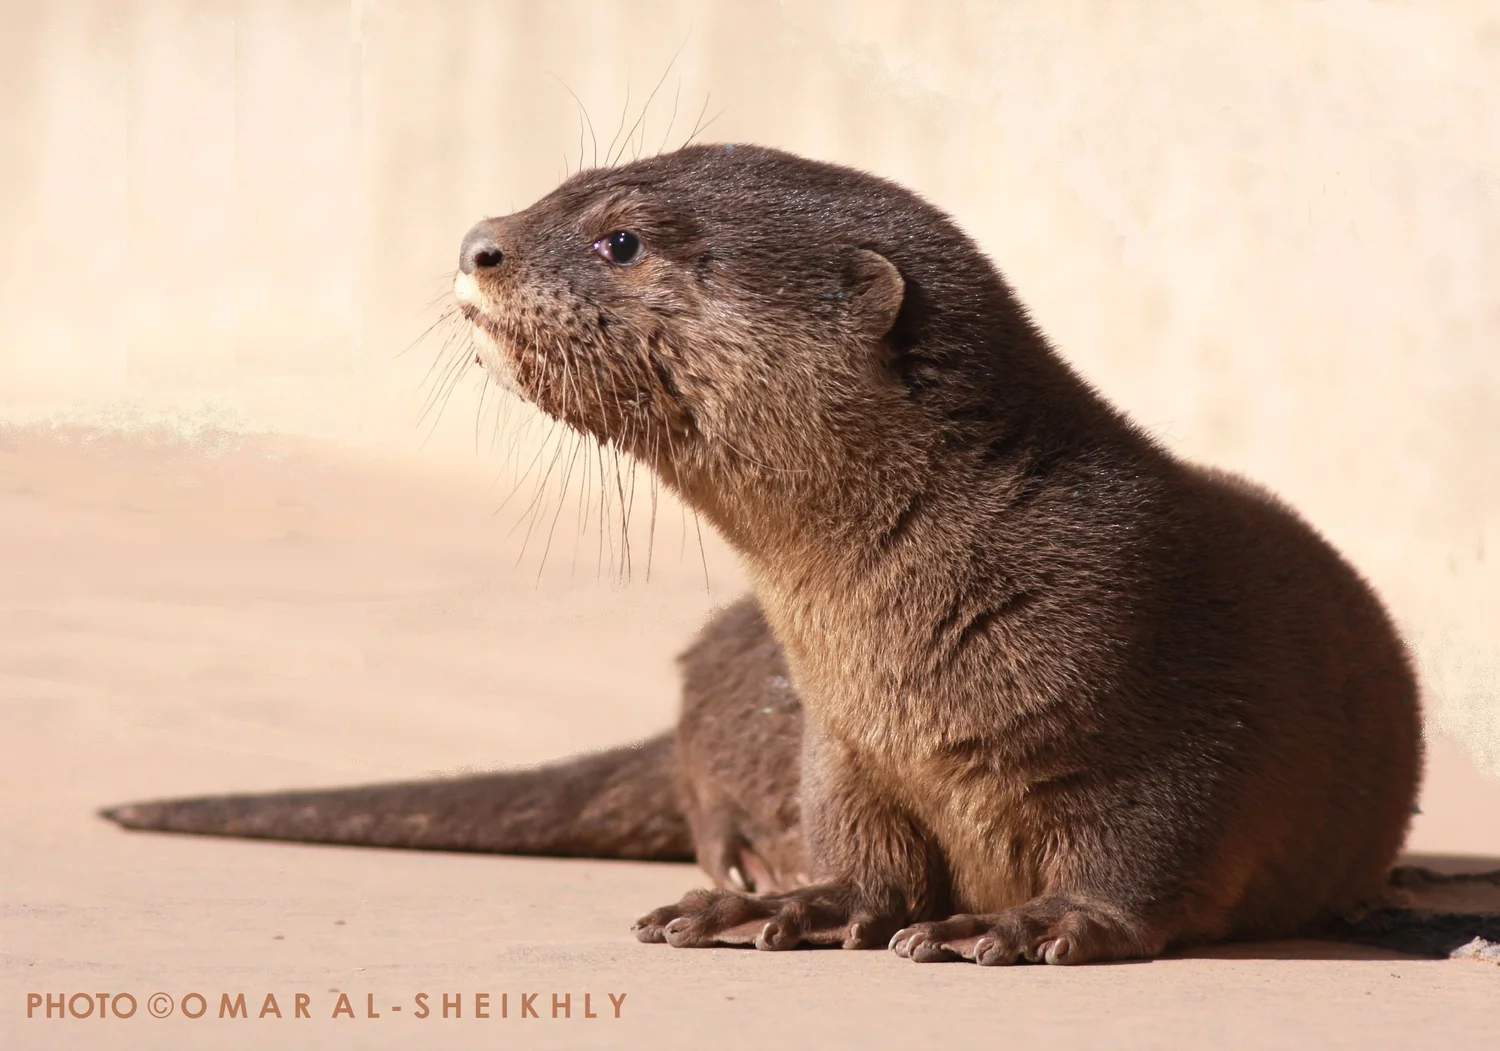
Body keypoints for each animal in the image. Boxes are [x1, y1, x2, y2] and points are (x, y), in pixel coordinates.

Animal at [104, 144, 1500, 963]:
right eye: (569, 183)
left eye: (621, 239)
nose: (477, 243)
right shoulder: (847, 742)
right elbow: (863, 849)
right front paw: (797, 902)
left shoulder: (1167, 681)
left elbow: (1147, 847)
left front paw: (1042, 922)